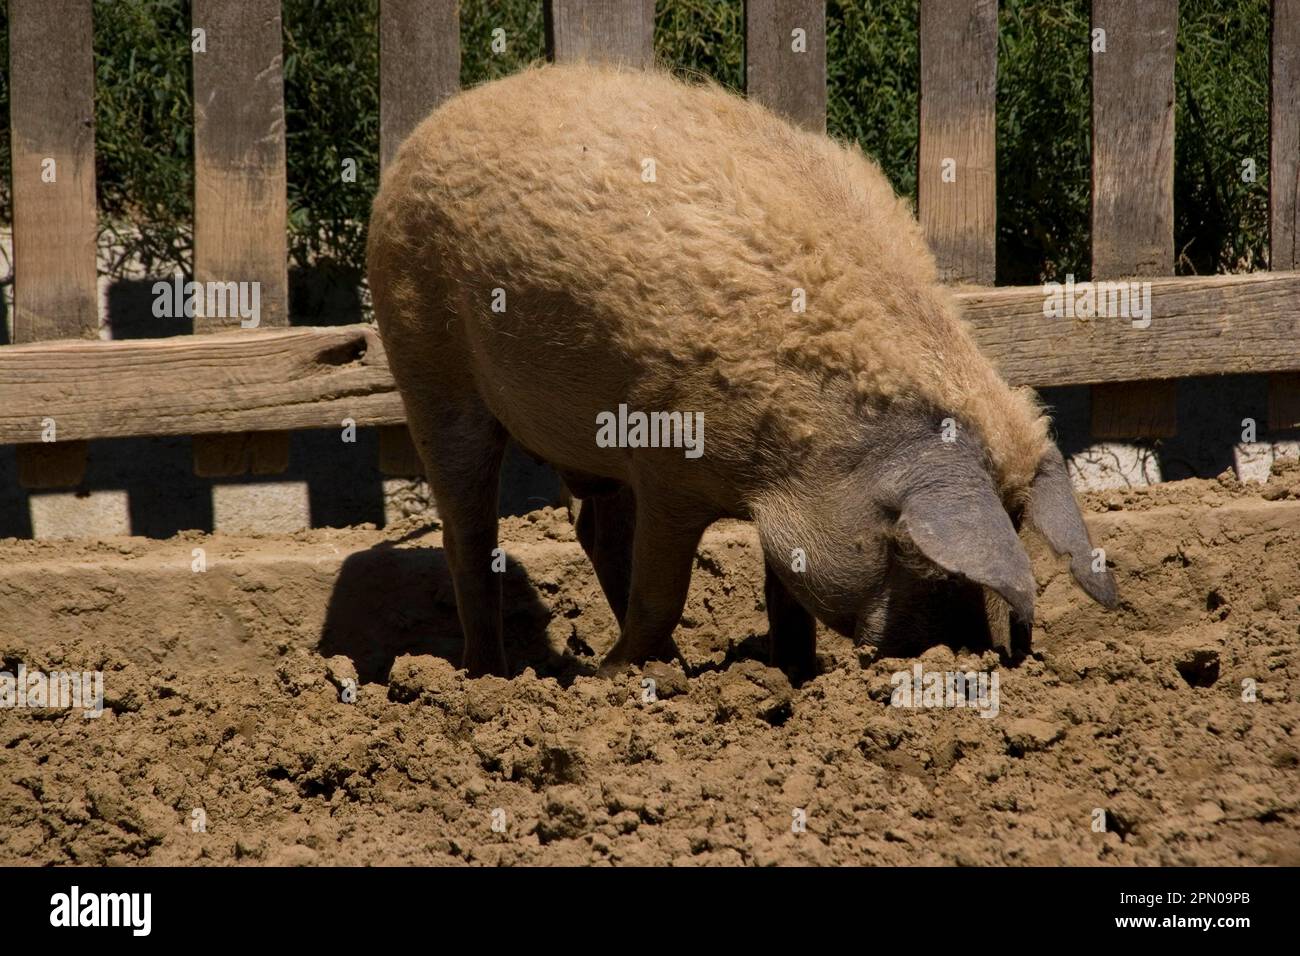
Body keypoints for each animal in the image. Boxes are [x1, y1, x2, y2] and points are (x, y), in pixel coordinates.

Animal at [366, 63, 1117, 680]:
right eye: (922, 557)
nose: (972, 652)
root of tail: (427, 130)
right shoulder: (668, 463)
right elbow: (662, 591)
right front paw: (615, 677)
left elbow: (785, 592)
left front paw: (796, 674)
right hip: (424, 359)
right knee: (469, 531)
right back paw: (491, 675)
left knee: (591, 530)